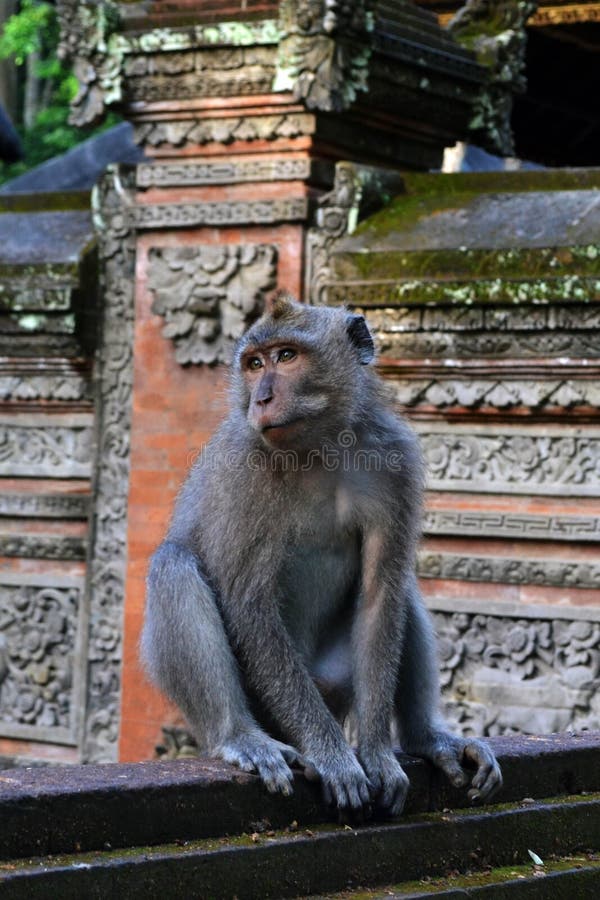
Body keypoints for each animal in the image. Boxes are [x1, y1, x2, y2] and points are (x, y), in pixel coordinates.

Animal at [141, 291, 502, 816]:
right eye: (254, 364)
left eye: (286, 356)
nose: (261, 398)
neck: (318, 446)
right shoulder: (243, 469)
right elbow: (249, 605)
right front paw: (333, 755)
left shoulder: (394, 461)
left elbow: (380, 594)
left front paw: (376, 753)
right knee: (174, 566)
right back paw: (242, 736)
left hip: (334, 679)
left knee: (402, 592)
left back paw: (425, 738)